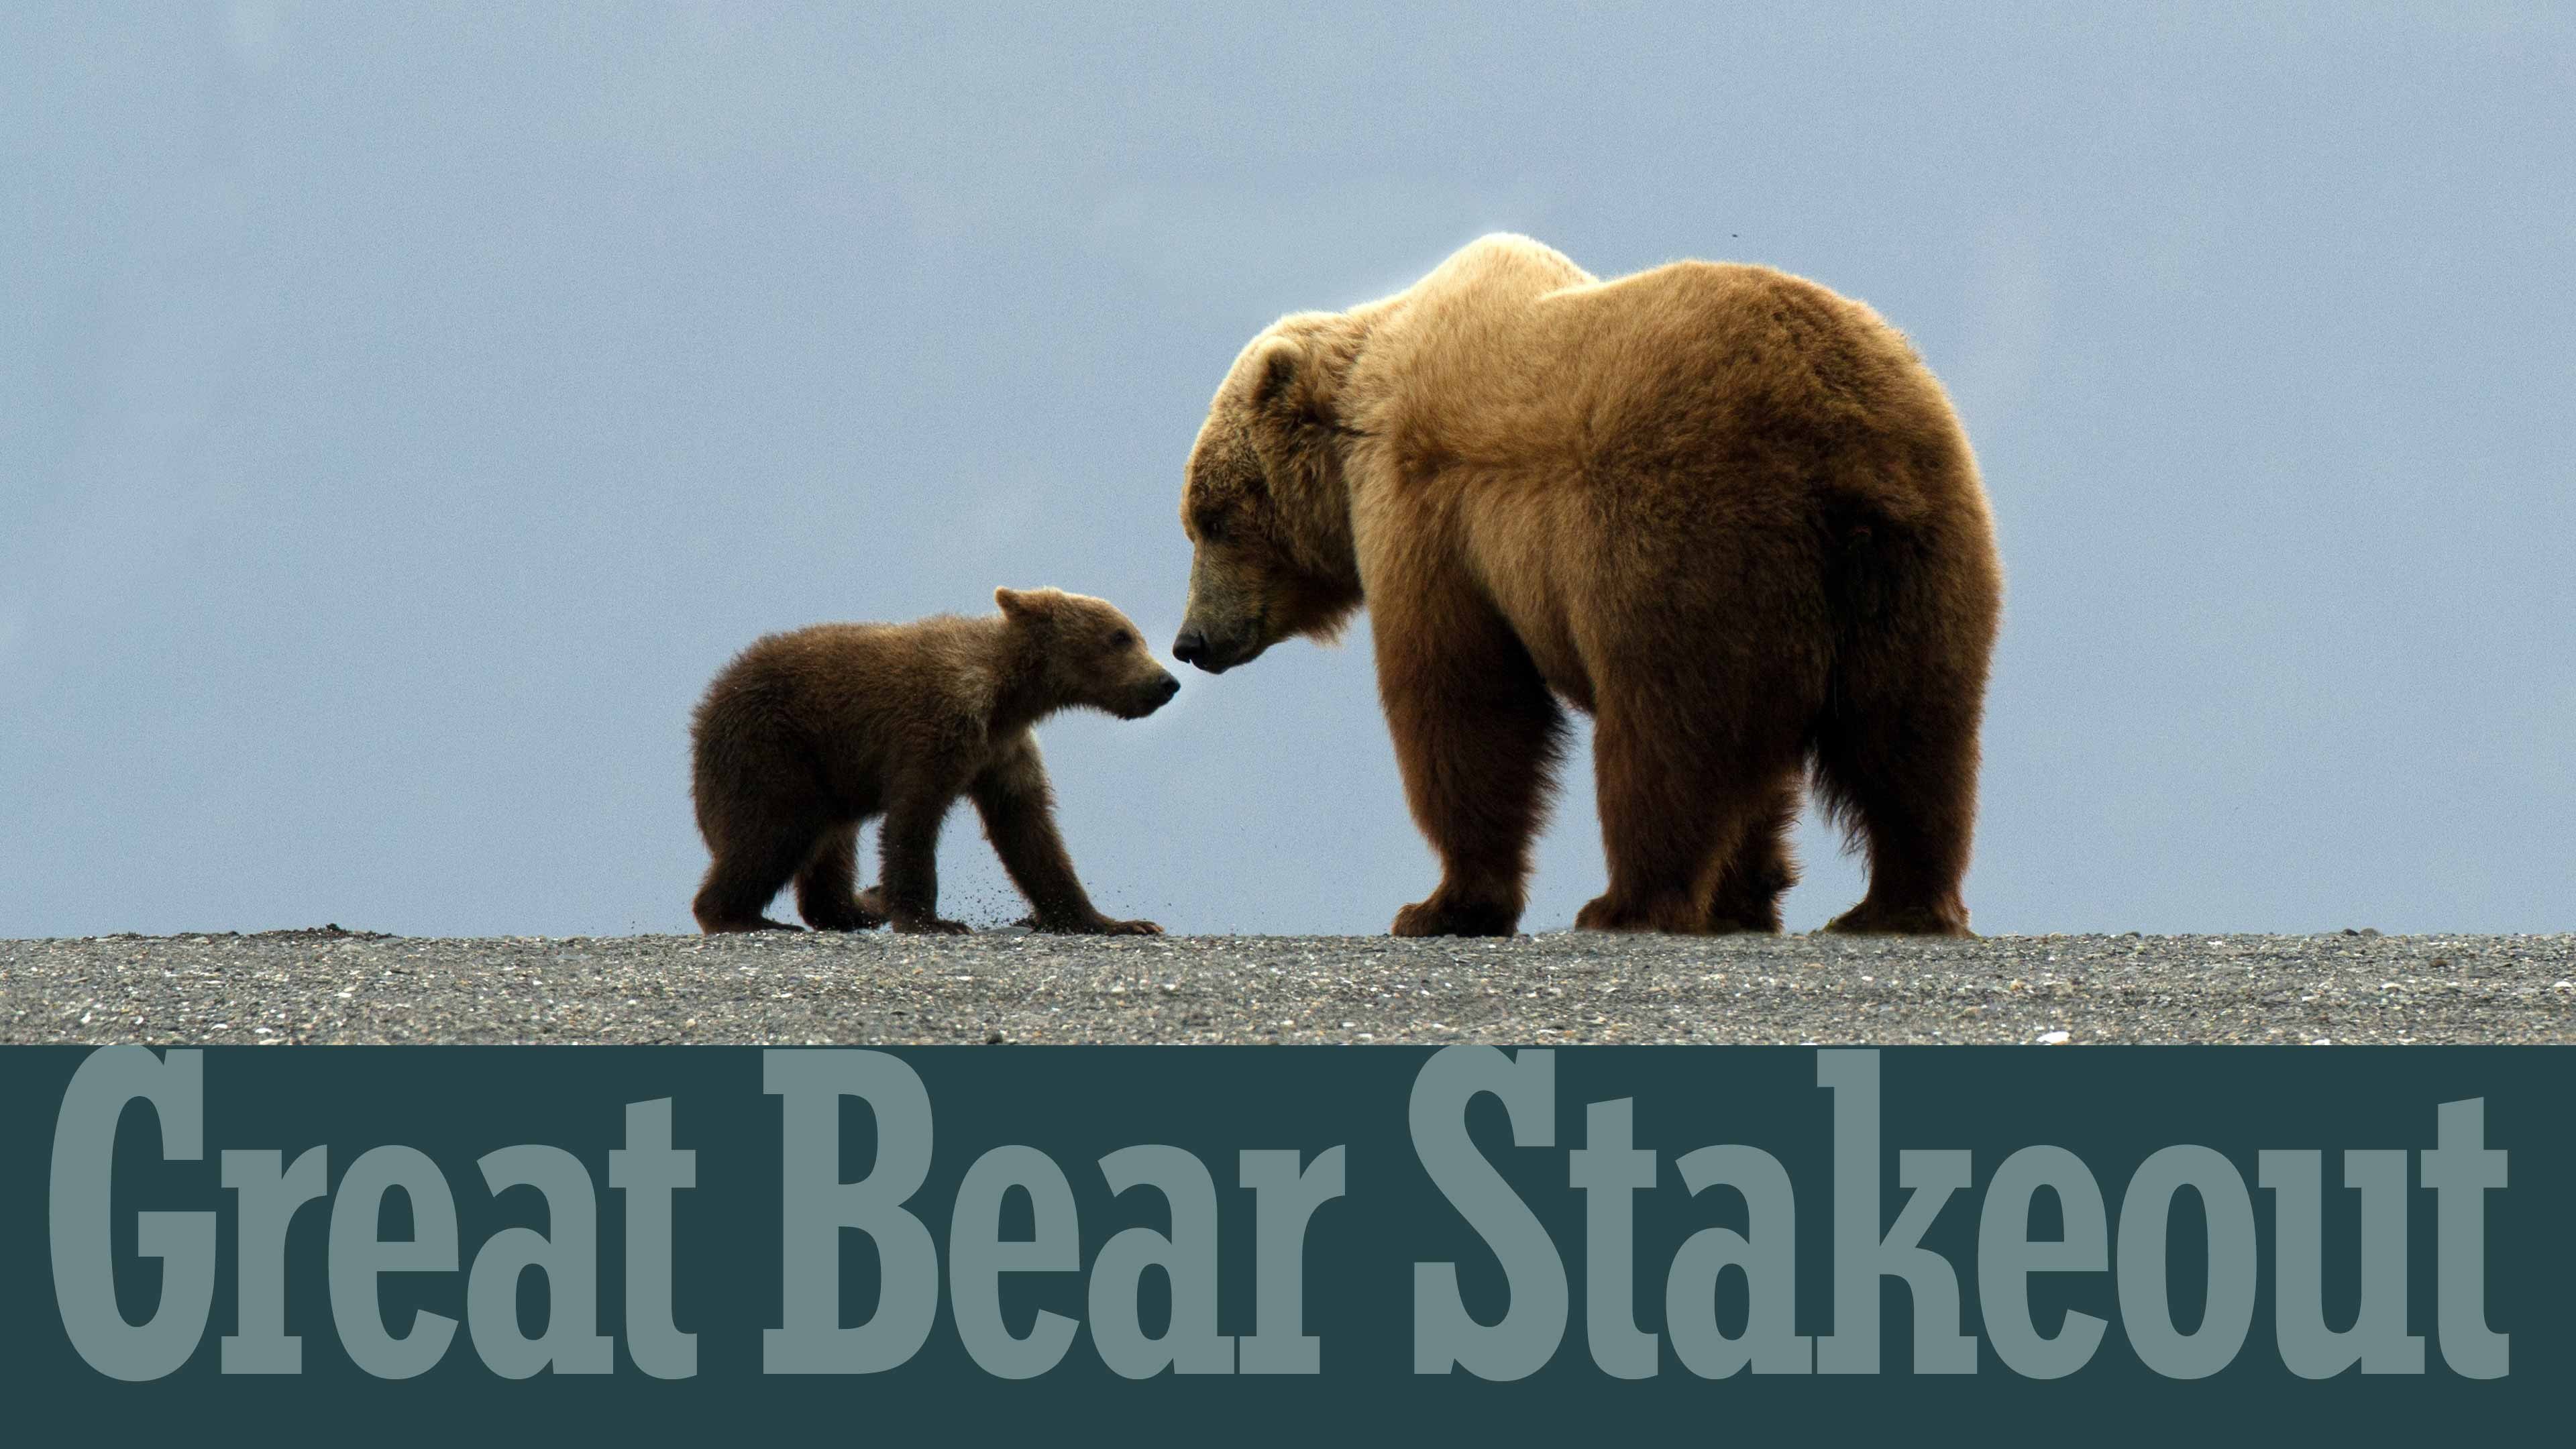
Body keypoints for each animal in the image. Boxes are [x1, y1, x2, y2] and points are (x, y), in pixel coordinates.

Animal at [689, 587, 1178, 936]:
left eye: (1133, 634)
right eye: (1120, 637)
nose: (1166, 681)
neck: (1007, 695)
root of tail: (707, 704)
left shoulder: (1004, 751)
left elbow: (1029, 832)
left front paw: (1117, 922)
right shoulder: (936, 728)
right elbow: (914, 819)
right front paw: (932, 920)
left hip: (828, 772)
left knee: (830, 846)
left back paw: (859, 906)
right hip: (774, 748)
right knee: (774, 831)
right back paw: (741, 916)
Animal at [1171, 233, 2002, 938]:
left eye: (1212, 518)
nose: (1191, 640)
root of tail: (1843, 454)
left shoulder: (1430, 512)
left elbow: (1463, 699)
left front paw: (1444, 905)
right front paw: (1749, 892)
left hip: (1684, 541)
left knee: (1665, 737)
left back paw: (1626, 903)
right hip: (1921, 557)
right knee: (1914, 736)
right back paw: (1897, 905)